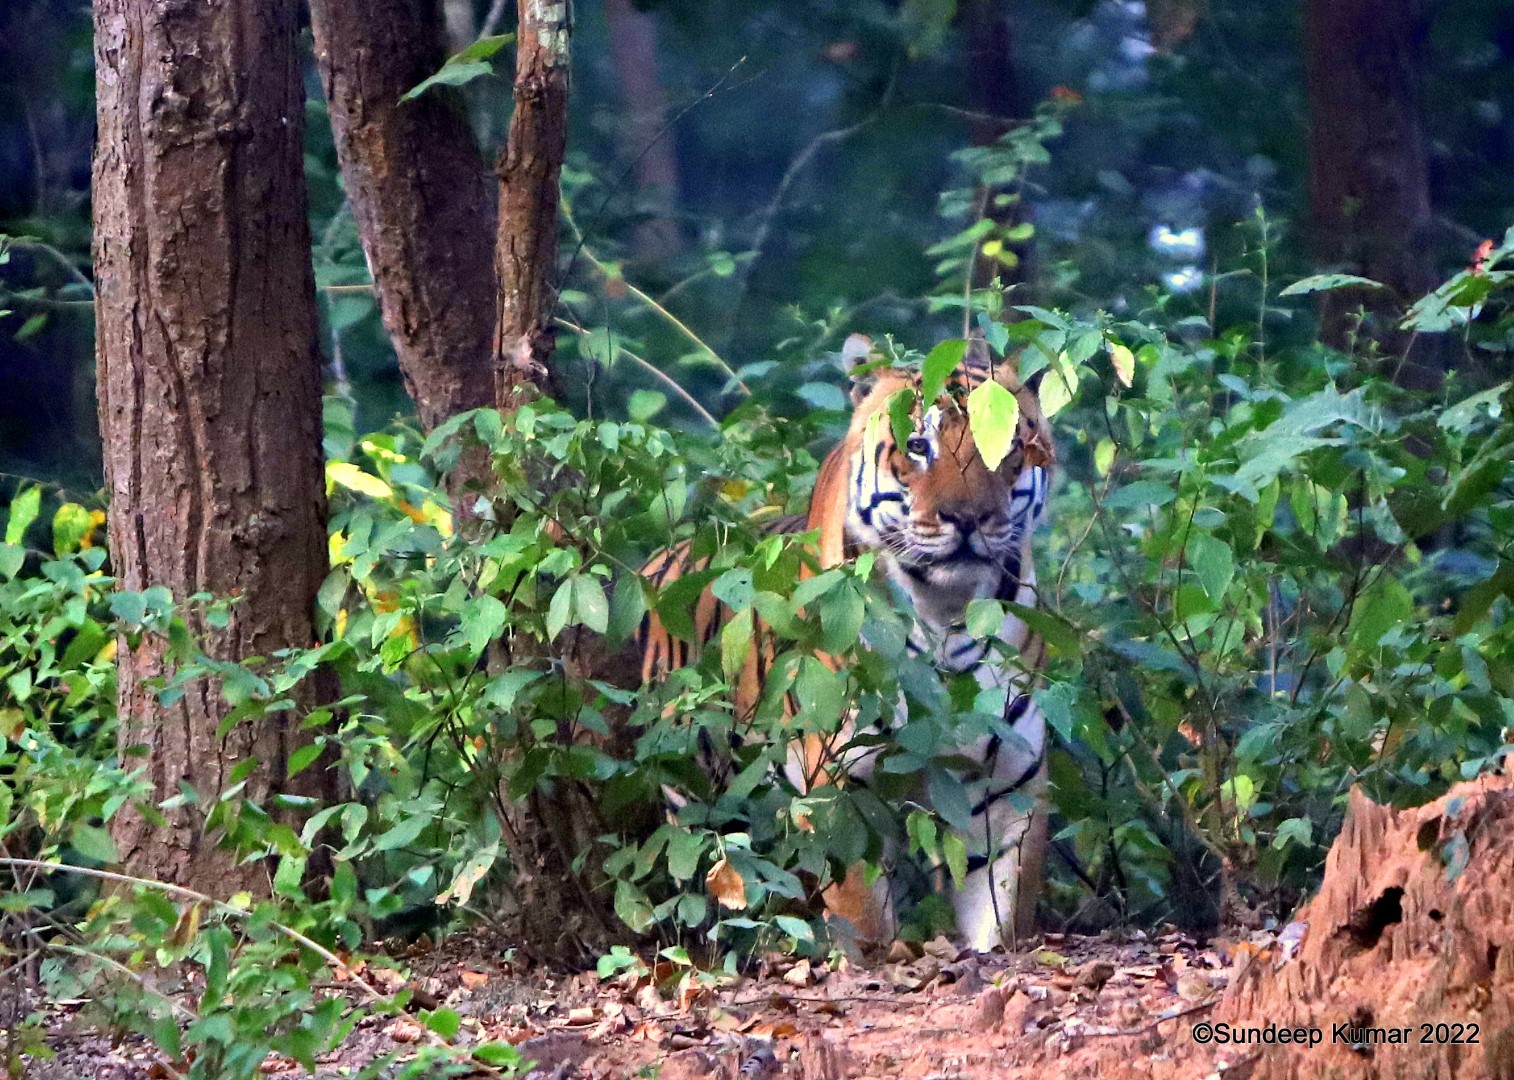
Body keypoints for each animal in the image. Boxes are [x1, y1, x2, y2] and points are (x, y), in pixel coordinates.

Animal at [640, 333, 1056, 952]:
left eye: (1003, 445)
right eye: (918, 446)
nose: (967, 518)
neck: (945, 612)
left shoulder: (1009, 791)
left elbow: (1000, 916)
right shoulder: (838, 789)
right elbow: (865, 921)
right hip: (693, 794)